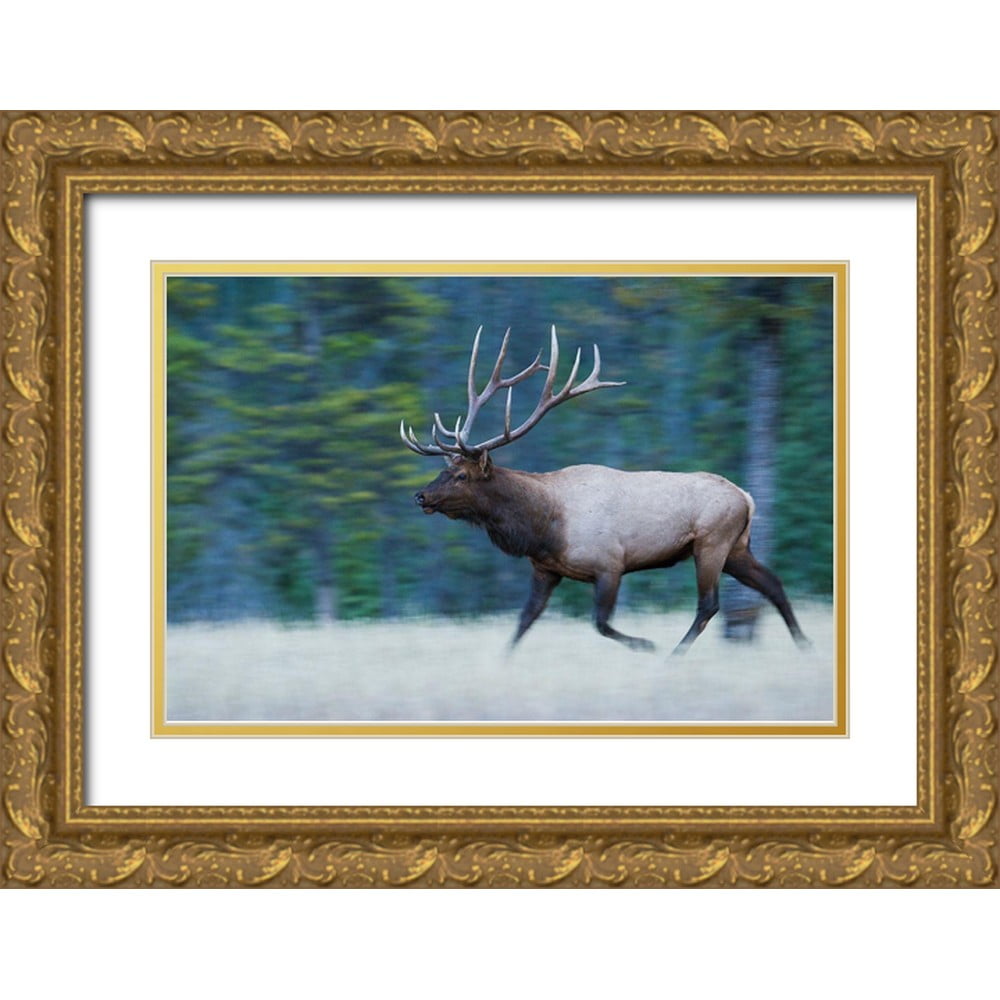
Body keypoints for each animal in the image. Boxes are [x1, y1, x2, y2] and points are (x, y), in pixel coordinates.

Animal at [400, 326, 810, 656]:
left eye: (461, 476)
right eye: (443, 469)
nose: (421, 496)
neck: (543, 526)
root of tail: (748, 498)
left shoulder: (609, 564)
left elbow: (600, 622)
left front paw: (645, 645)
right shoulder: (545, 569)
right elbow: (523, 622)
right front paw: (502, 662)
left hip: (711, 542)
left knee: (708, 605)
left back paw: (672, 656)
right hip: (736, 547)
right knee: (772, 583)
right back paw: (806, 645)